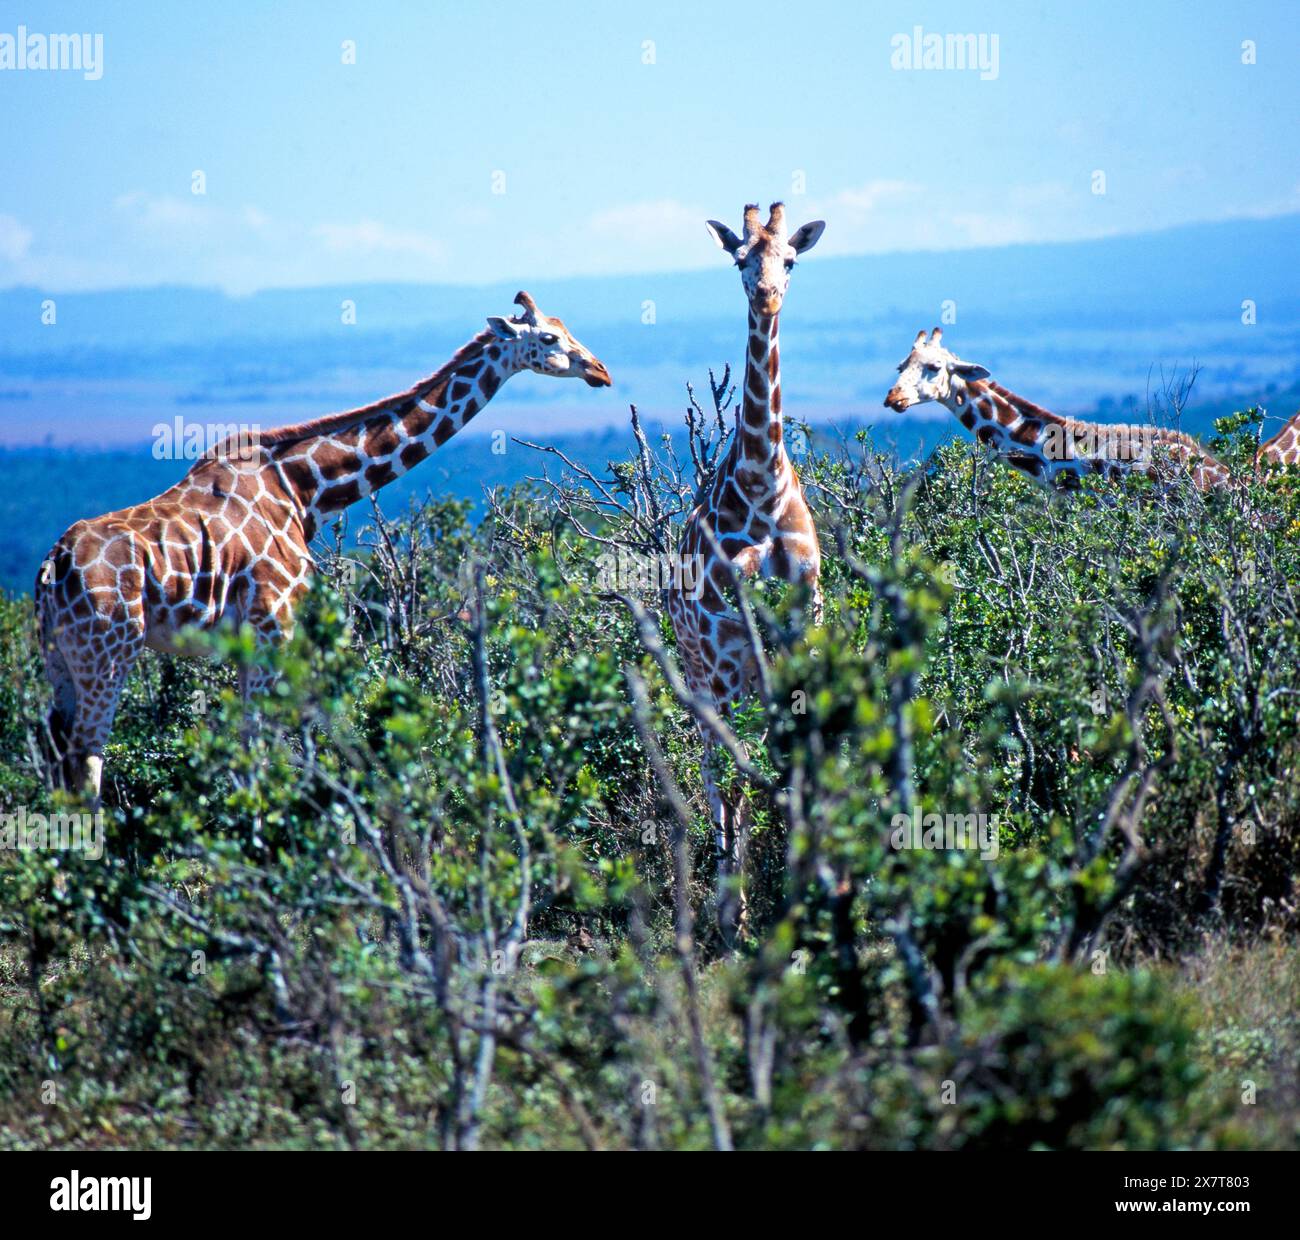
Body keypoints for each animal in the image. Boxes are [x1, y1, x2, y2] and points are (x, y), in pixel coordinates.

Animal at [36, 292, 612, 801]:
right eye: (549, 337)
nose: (601, 371)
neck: (304, 490)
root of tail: (51, 571)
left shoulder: (250, 642)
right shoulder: (275, 627)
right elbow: (260, 753)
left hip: (59, 659)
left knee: (58, 761)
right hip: (109, 653)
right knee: (87, 761)